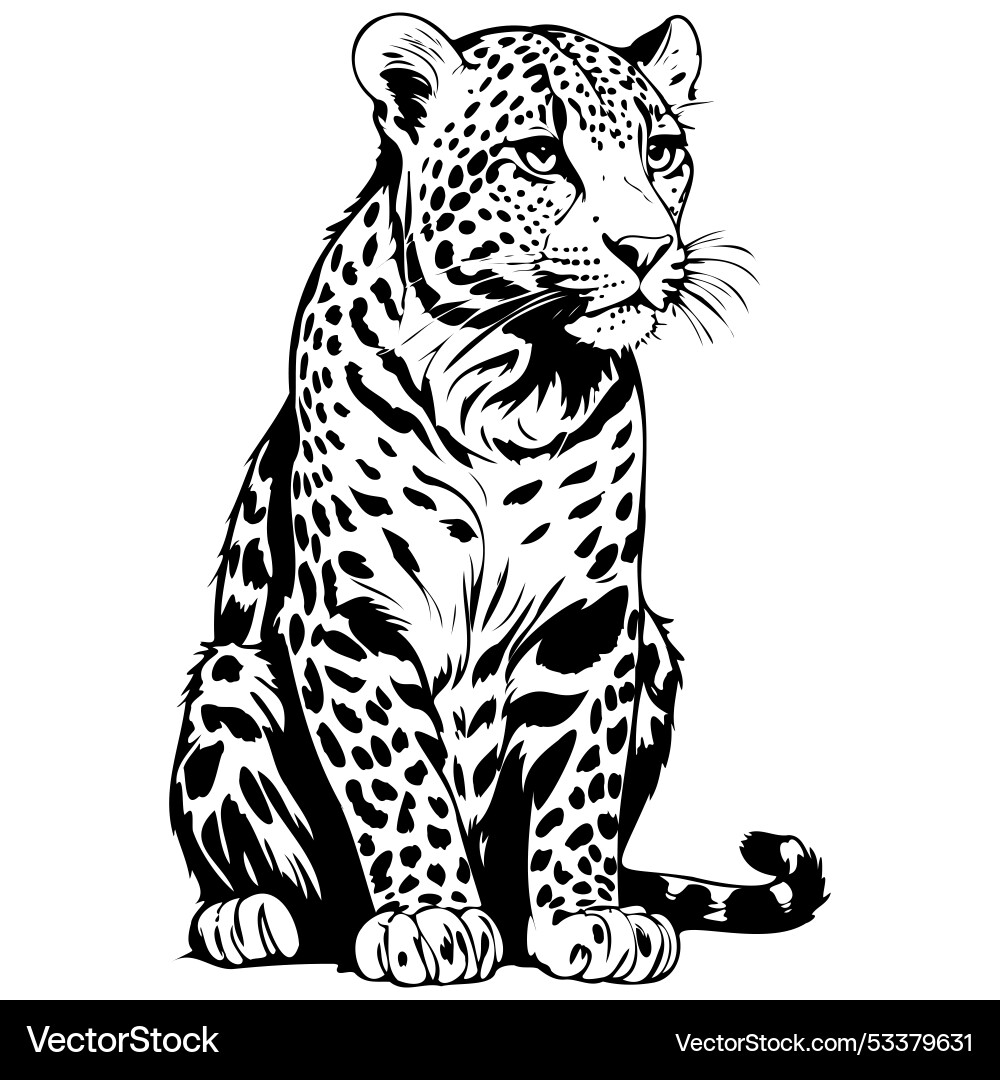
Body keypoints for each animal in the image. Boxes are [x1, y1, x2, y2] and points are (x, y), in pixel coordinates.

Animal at [170, 12, 827, 984]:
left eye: (662, 152)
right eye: (541, 155)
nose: (647, 251)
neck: (513, 387)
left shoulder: (593, 625)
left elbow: (581, 786)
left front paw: (589, 915)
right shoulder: (351, 626)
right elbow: (398, 781)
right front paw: (430, 918)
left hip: (656, 649)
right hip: (231, 675)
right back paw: (252, 913)